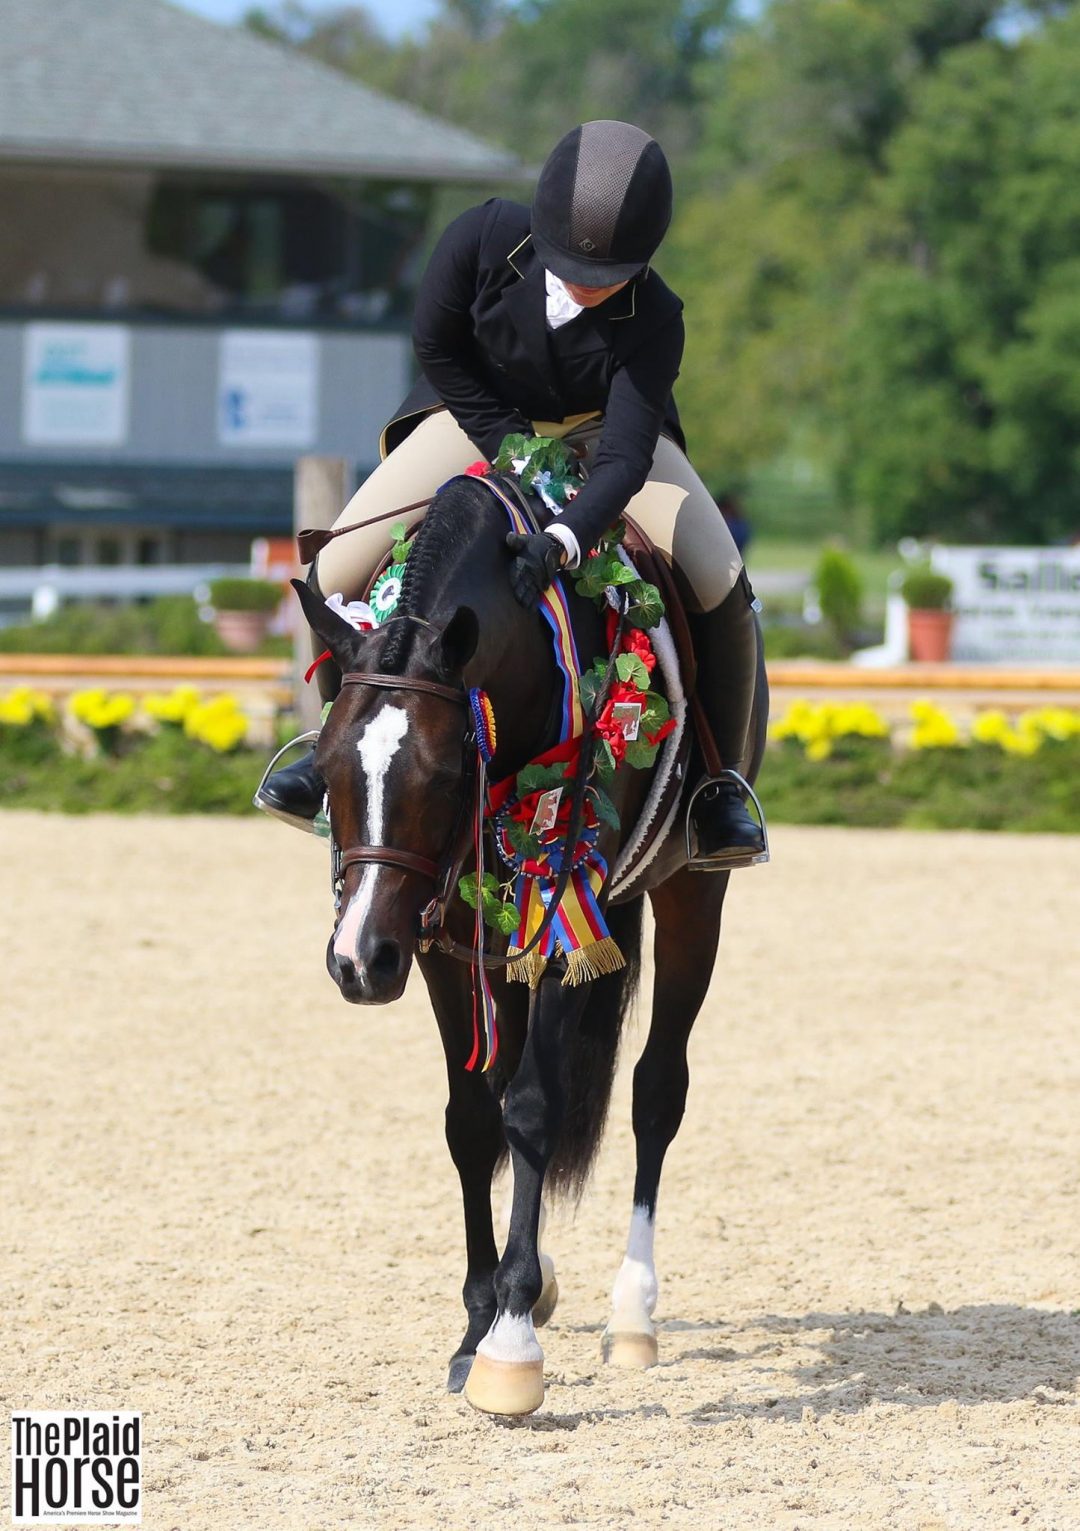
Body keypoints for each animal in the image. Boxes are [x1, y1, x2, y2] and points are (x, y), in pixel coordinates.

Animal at [292, 471, 768, 1416]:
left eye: (443, 774)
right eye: (326, 763)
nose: (358, 961)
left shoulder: (557, 920)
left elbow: (534, 1108)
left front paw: (508, 1348)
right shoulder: (443, 943)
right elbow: (475, 1120)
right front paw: (479, 1322)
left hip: (693, 897)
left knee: (656, 1090)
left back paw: (632, 1314)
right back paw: (541, 1275)